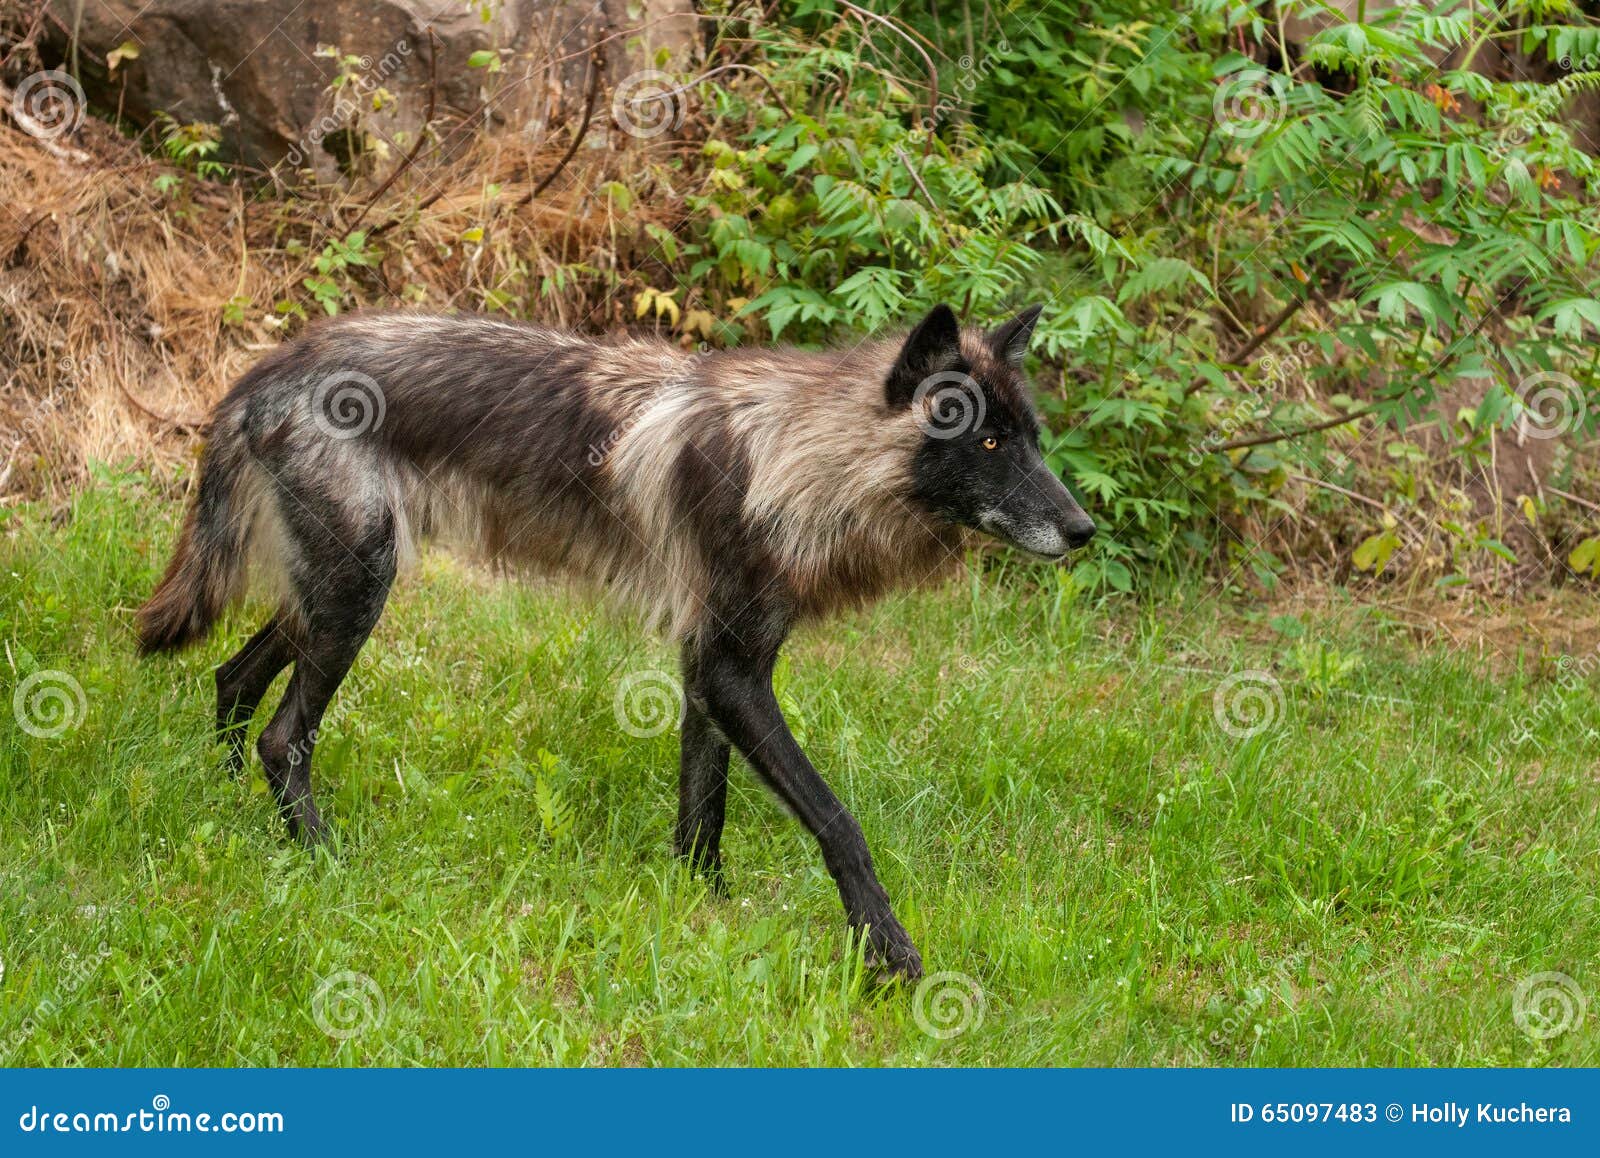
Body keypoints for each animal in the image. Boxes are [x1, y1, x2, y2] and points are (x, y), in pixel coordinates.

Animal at [137, 303, 1095, 980]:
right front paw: (888, 954)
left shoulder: (714, 671)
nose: (1085, 530)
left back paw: (224, 807)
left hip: (340, 592)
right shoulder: (732, 672)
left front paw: (702, 913)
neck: (789, 458)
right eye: (990, 441)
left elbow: (701, 814)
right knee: (282, 735)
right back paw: (321, 855)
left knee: (231, 678)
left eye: (1034, 441)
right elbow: (837, 820)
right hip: (355, 595)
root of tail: (269, 367)